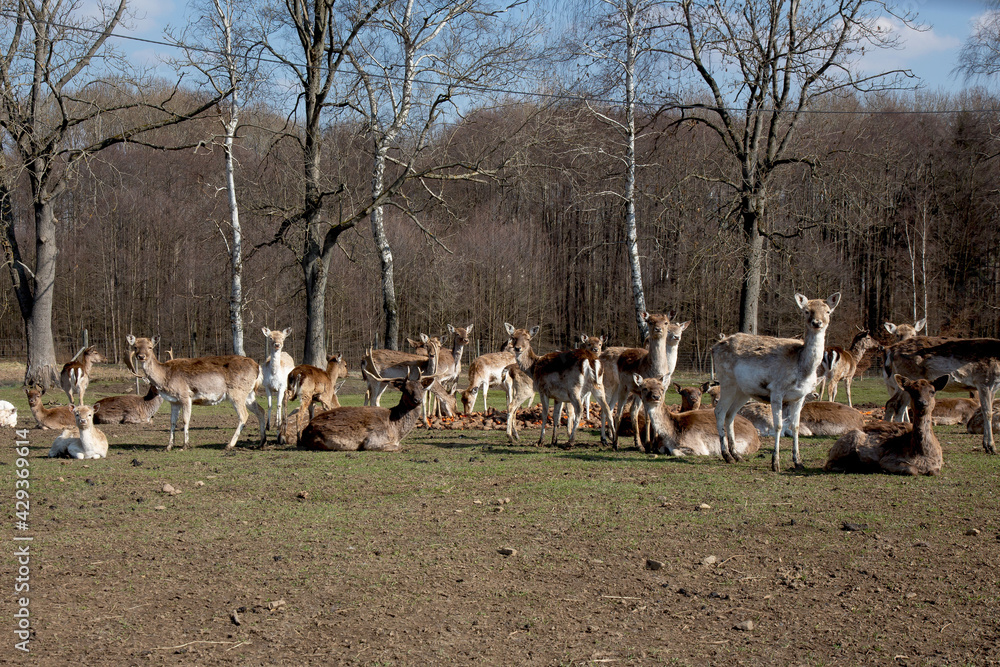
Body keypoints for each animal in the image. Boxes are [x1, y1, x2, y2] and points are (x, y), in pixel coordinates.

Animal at [125, 334, 266, 451]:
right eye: (135, 346)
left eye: (150, 347)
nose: (141, 356)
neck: (165, 377)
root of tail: (257, 366)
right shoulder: (173, 401)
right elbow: (172, 422)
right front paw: (169, 446)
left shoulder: (185, 396)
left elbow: (185, 420)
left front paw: (185, 445)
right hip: (249, 394)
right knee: (260, 410)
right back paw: (261, 442)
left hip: (237, 393)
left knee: (244, 415)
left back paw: (229, 445)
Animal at [298, 366, 437, 452]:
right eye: (406, 390)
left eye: (421, 388)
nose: (417, 400)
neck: (396, 431)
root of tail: (306, 430)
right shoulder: (373, 440)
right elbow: (399, 447)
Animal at [600, 312, 690, 451]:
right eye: (669, 329)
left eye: (680, 330)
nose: (676, 337)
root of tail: (601, 354)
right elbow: (643, 414)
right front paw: (648, 443)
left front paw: (649, 443)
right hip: (609, 383)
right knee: (604, 407)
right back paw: (605, 439)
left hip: (618, 388)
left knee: (610, 407)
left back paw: (611, 437)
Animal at [713, 292, 842, 471]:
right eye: (806, 311)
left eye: (828, 311)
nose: (817, 323)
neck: (802, 369)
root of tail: (714, 348)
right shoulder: (776, 391)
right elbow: (778, 425)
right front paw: (775, 463)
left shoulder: (800, 396)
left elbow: (795, 426)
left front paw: (798, 462)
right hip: (727, 381)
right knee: (719, 411)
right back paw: (727, 455)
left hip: (743, 391)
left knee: (730, 414)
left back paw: (737, 455)